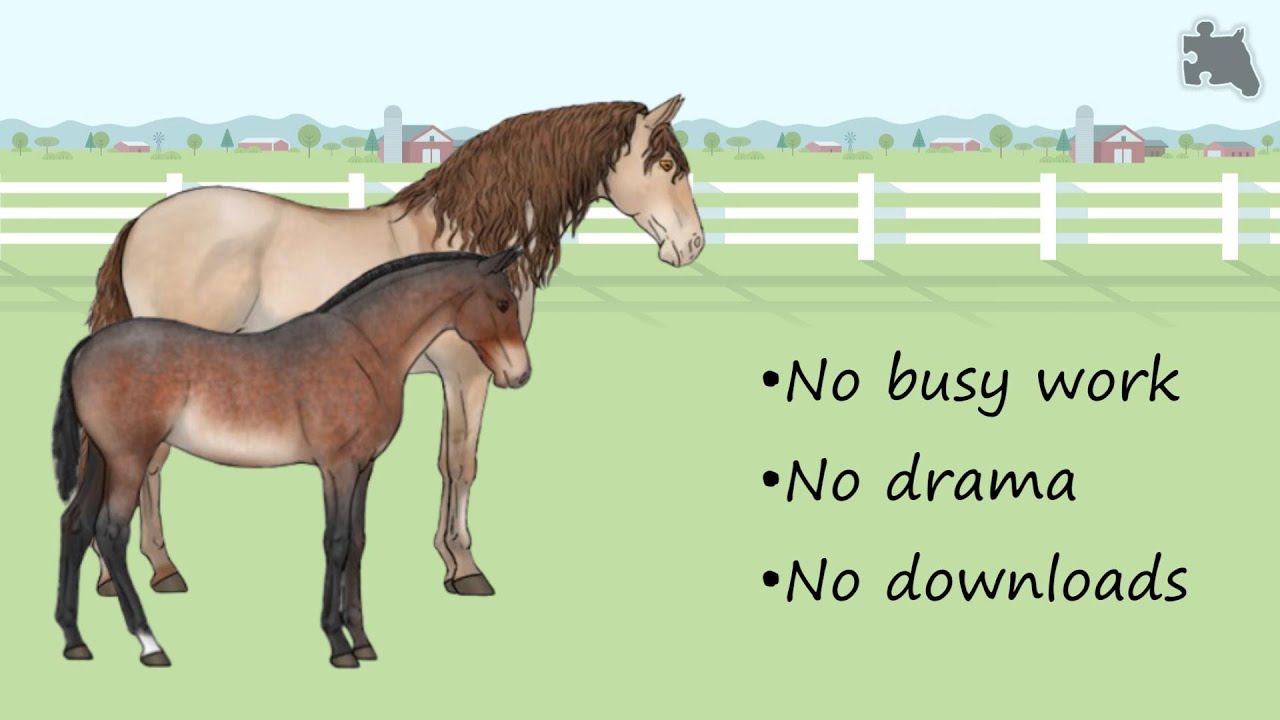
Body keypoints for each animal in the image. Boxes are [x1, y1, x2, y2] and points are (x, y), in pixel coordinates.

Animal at [55, 247, 529, 668]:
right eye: (503, 302)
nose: (519, 374)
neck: (364, 349)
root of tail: (86, 348)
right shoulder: (337, 469)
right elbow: (336, 543)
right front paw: (338, 645)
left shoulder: (363, 468)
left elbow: (358, 543)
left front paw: (362, 642)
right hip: (129, 460)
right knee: (110, 532)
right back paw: (150, 644)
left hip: (103, 459)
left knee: (76, 524)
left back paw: (75, 641)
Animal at [84, 96, 703, 599]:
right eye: (667, 165)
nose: (692, 244)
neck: (465, 241)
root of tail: (140, 223)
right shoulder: (468, 374)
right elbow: (463, 463)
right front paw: (466, 568)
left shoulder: (454, 379)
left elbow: (446, 462)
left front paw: (449, 560)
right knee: (147, 463)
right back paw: (155, 571)